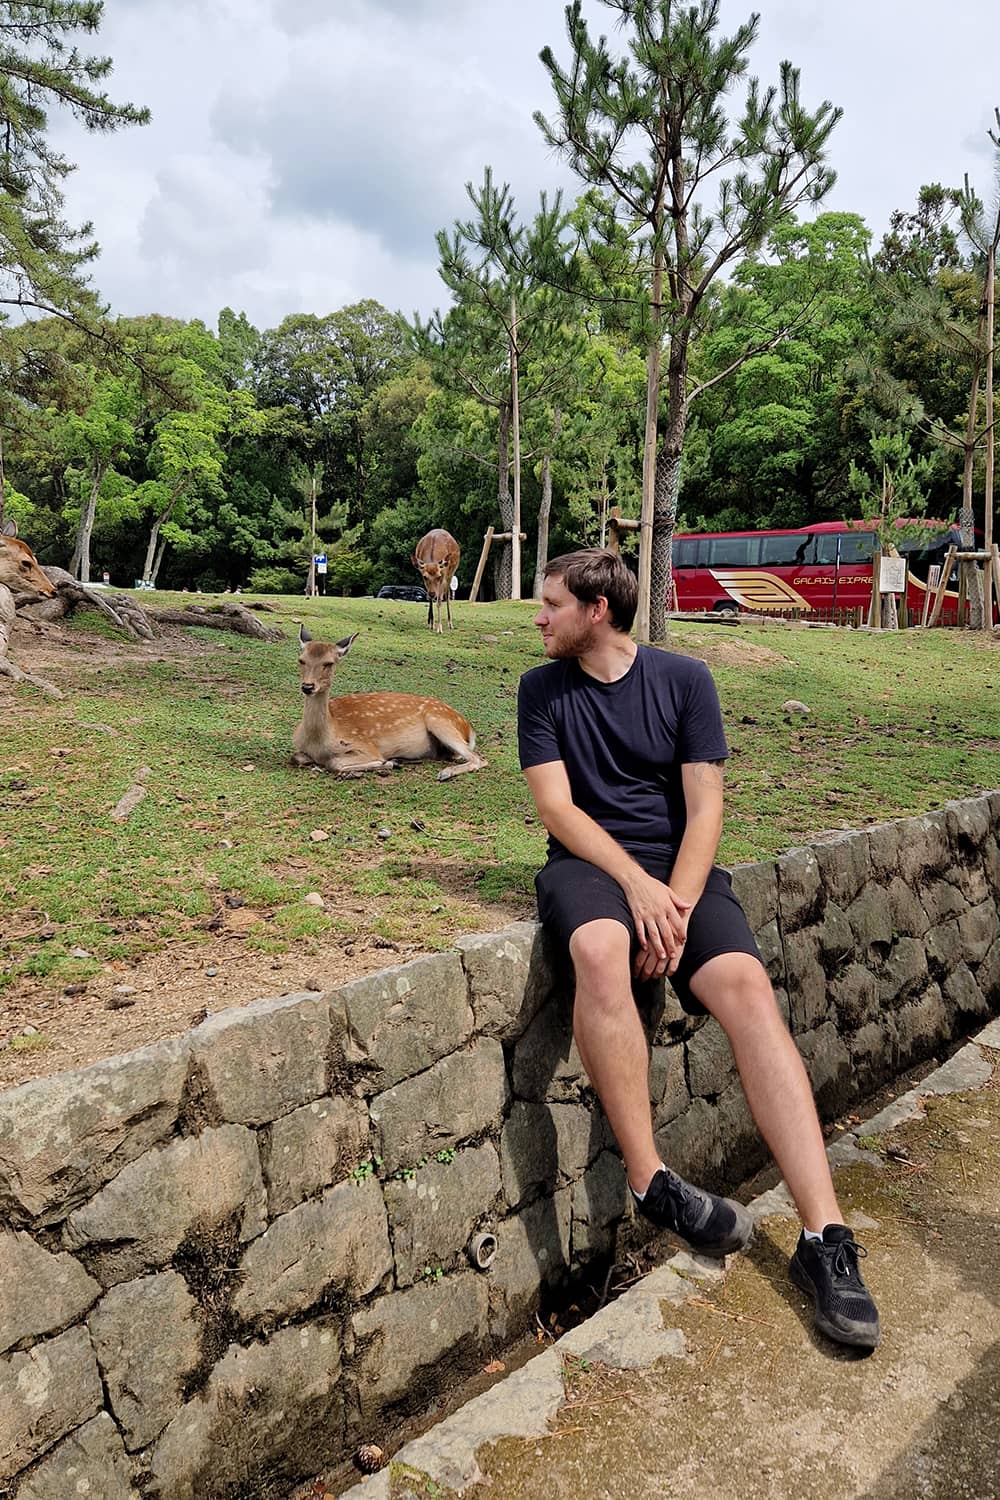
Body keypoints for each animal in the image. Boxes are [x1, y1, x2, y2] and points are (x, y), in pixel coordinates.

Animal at [292, 626, 485, 781]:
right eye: (301, 660)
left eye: (329, 663)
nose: (307, 686)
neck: (318, 742)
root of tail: (469, 728)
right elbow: (296, 757)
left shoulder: (365, 745)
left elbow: (334, 763)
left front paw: (388, 763)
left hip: (439, 721)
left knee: (478, 759)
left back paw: (444, 773)